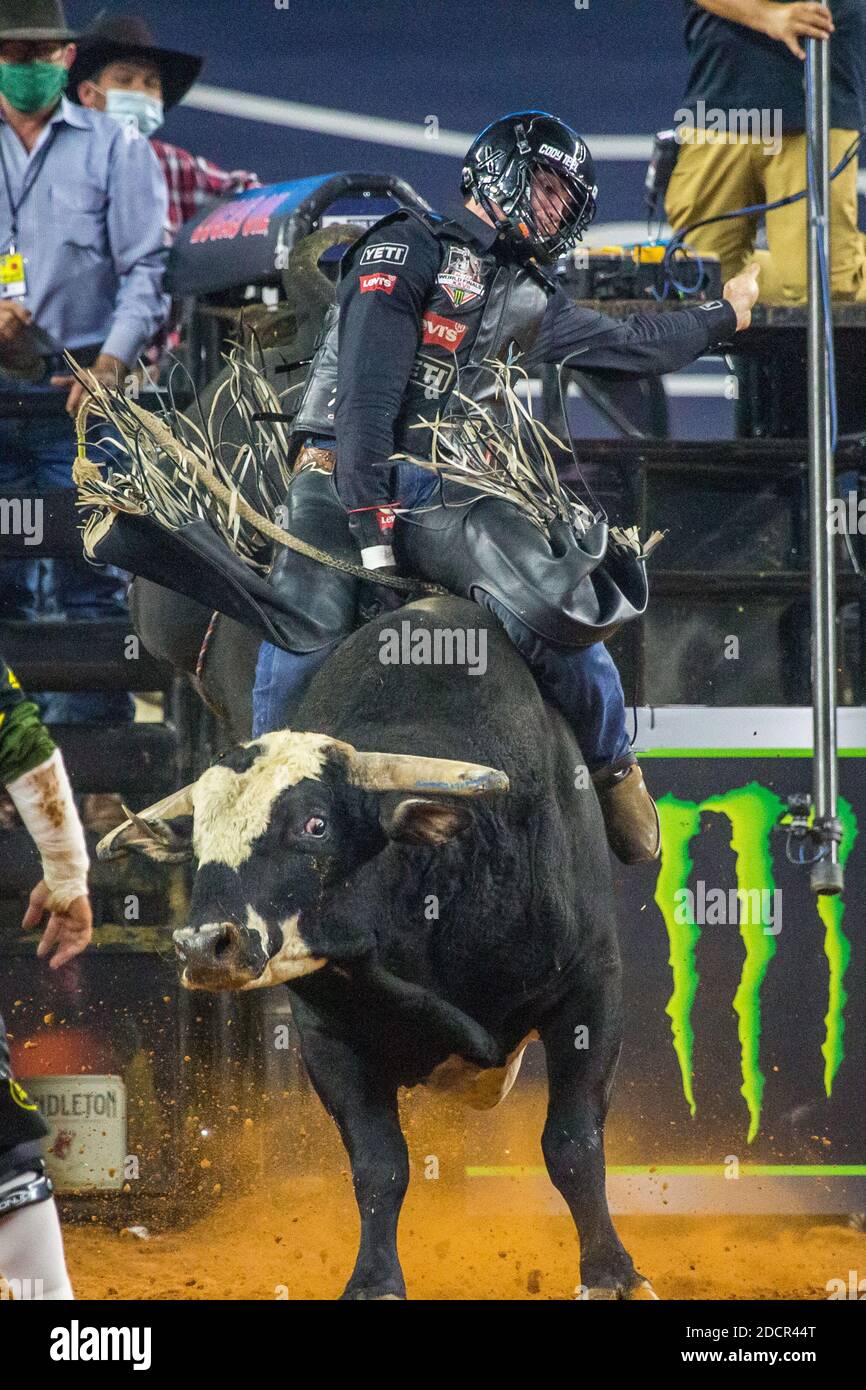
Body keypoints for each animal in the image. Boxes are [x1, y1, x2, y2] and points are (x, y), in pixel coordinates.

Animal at [100, 595, 656, 1301]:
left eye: (315, 824)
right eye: (198, 837)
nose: (204, 946)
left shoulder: (591, 987)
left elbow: (574, 1144)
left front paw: (613, 1274)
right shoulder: (327, 1033)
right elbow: (379, 1165)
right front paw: (374, 1281)